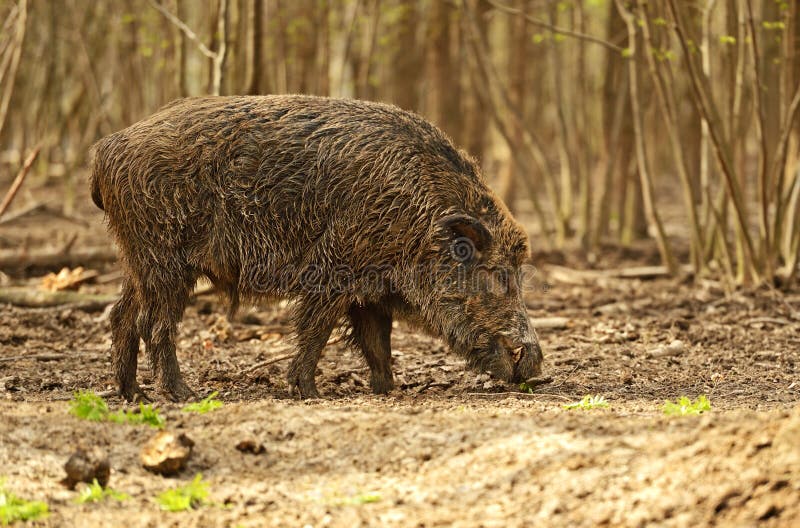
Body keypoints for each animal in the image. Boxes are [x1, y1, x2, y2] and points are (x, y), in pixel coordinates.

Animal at [90, 95, 543, 401]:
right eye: (497, 275)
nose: (534, 363)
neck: (416, 218)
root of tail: (107, 148)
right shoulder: (333, 268)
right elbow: (317, 329)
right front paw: (309, 391)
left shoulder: (370, 288)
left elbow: (378, 340)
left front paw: (388, 389)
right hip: (163, 256)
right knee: (153, 324)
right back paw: (185, 394)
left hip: (136, 257)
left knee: (120, 316)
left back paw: (133, 394)